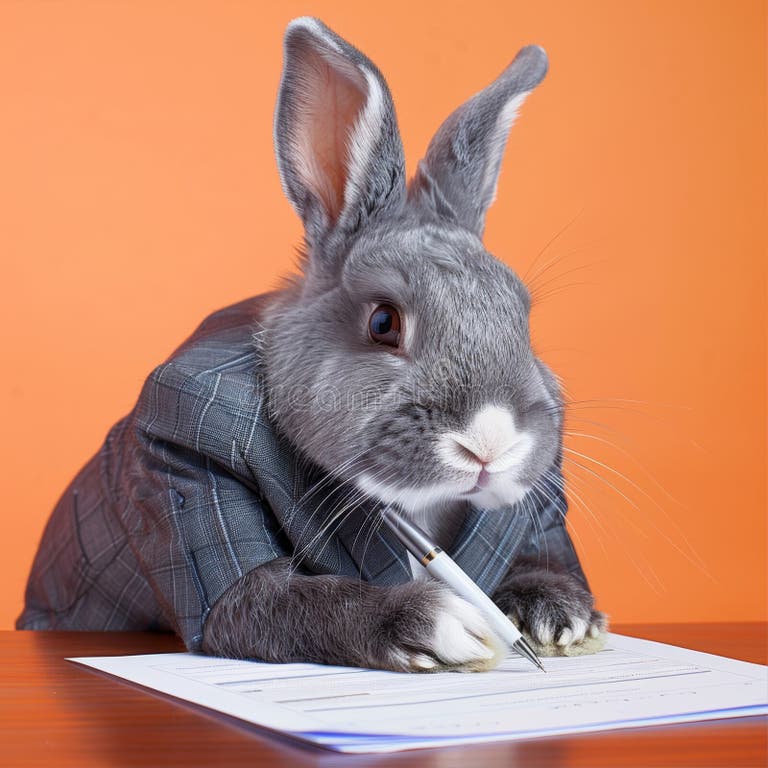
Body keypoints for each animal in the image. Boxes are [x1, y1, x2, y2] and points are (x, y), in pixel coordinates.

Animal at [18, 17, 606, 672]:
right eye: (383, 322)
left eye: (522, 313)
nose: (491, 441)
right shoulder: (189, 474)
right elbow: (280, 602)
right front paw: (439, 625)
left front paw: (561, 618)